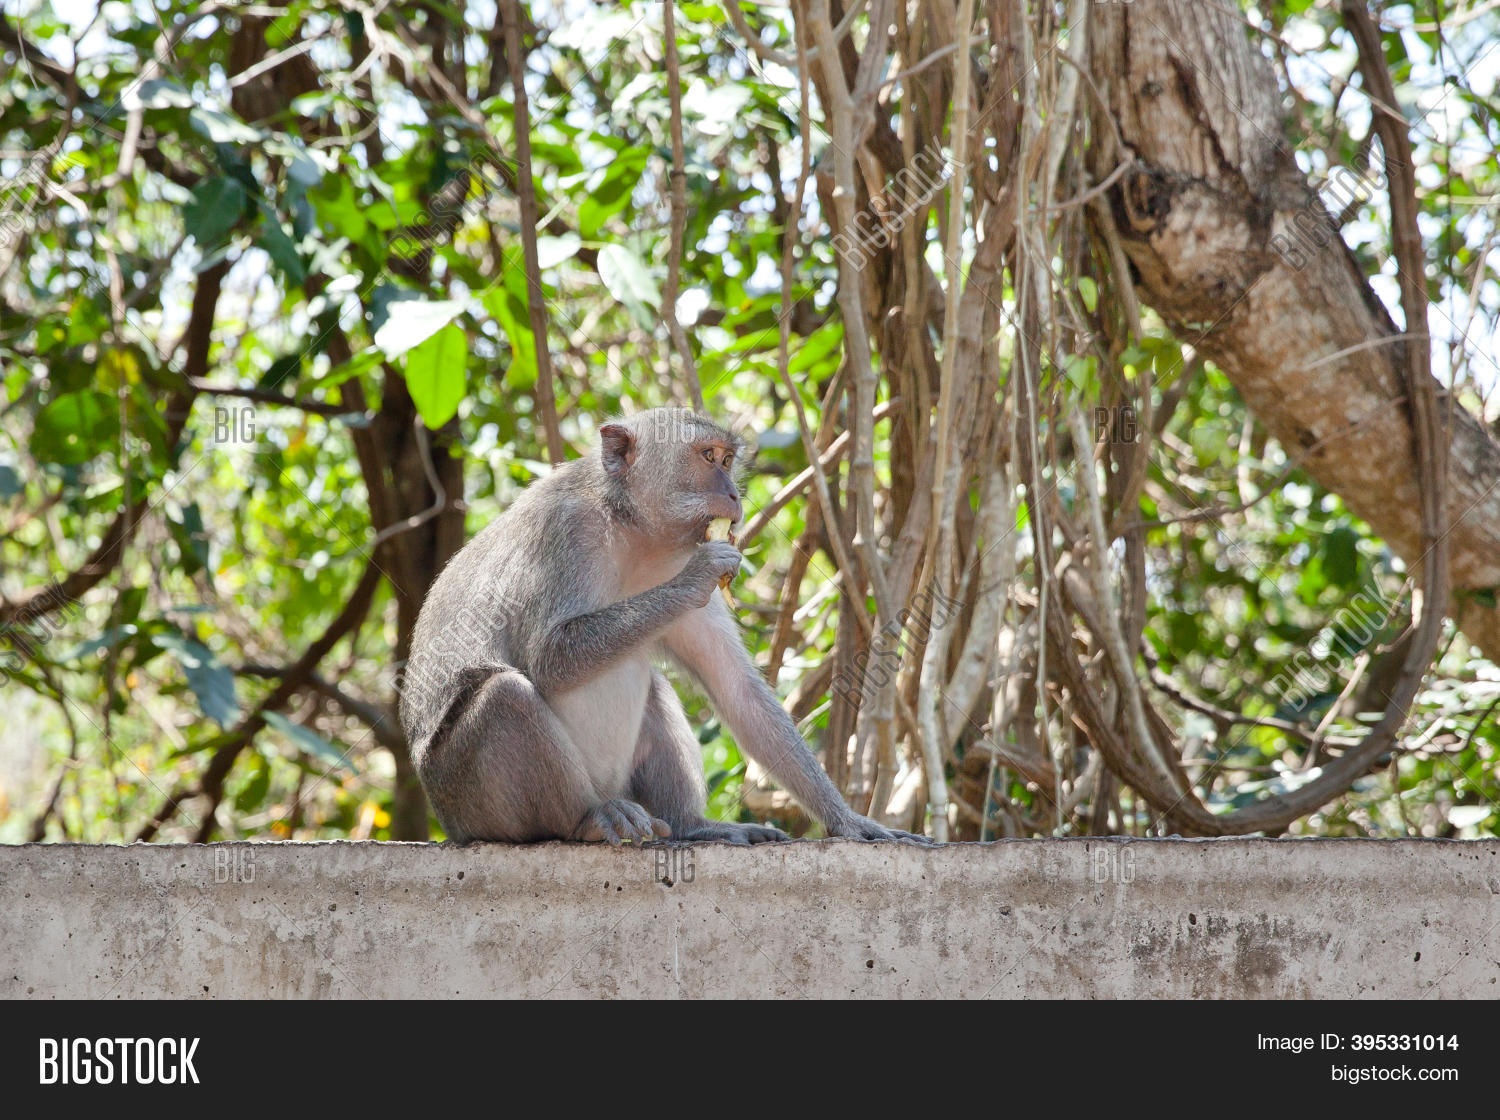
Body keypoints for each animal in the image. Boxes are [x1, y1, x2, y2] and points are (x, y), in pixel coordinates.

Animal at [399, 408, 928, 846]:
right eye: (709, 456)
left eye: (728, 459)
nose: (734, 493)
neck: (630, 529)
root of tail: (453, 827)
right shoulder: (564, 534)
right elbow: (549, 658)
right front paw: (695, 578)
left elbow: (736, 689)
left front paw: (848, 821)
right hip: (471, 801)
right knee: (504, 695)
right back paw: (588, 820)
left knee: (650, 683)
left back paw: (692, 826)